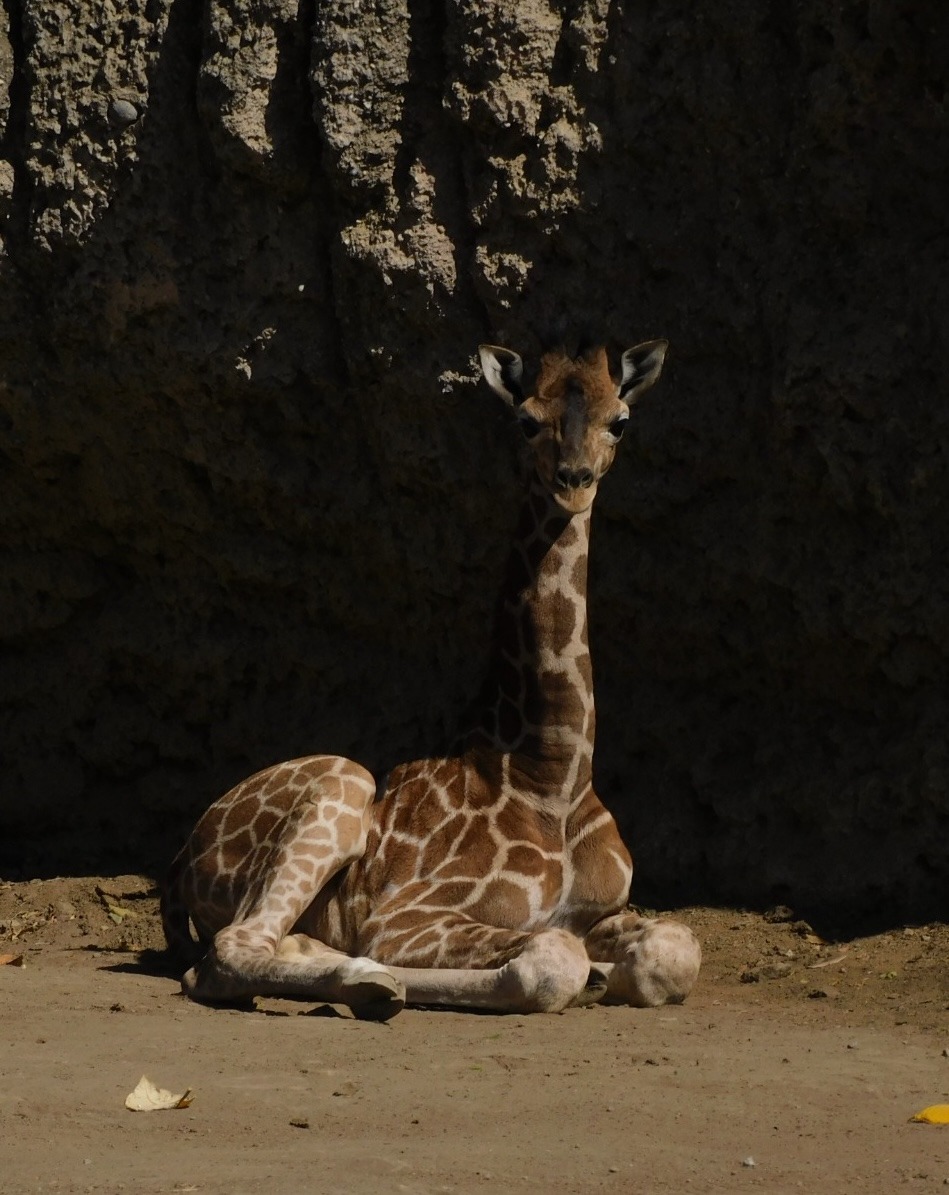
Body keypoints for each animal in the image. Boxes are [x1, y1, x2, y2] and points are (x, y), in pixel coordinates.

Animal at [161, 336, 701, 1020]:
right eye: (526, 420)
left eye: (620, 421)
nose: (574, 480)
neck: (555, 774)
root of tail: (182, 856)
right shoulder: (405, 917)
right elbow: (551, 962)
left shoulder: (599, 913)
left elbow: (675, 948)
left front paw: (617, 970)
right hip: (343, 780)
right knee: (224, 953)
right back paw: (368, 984)